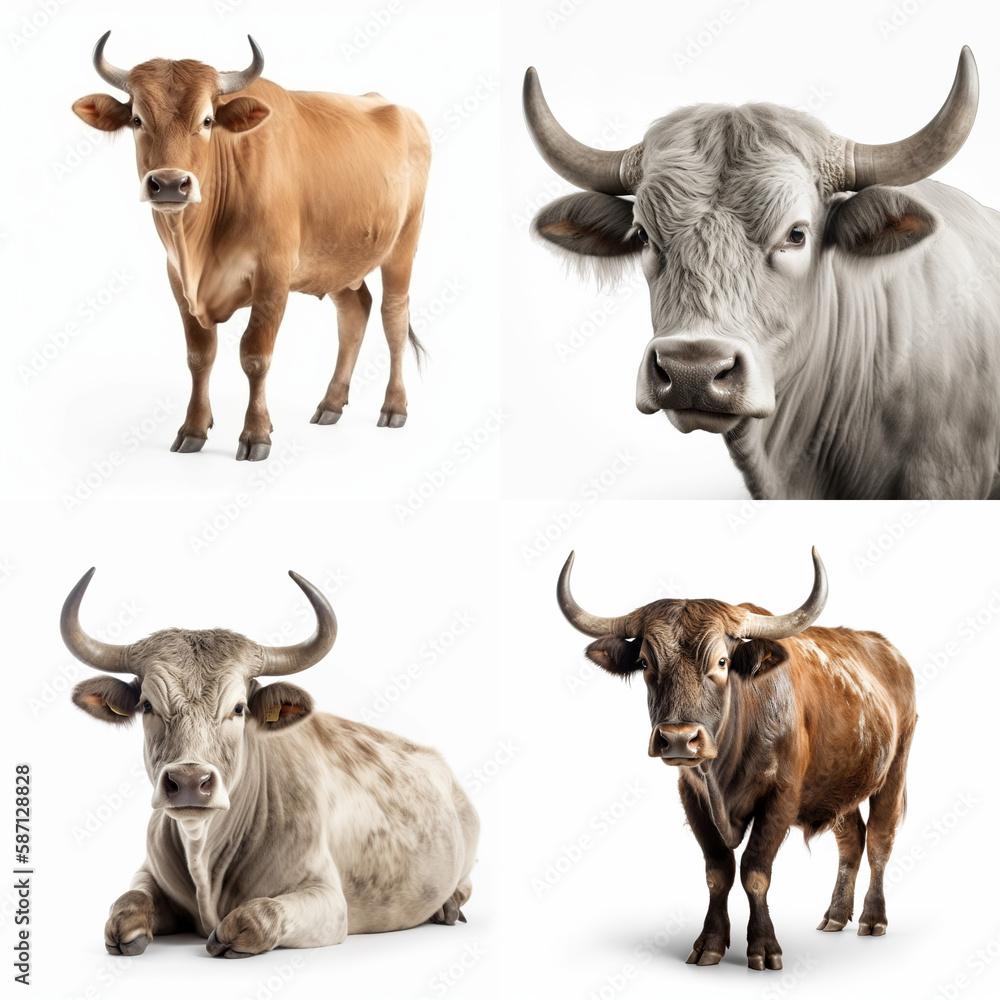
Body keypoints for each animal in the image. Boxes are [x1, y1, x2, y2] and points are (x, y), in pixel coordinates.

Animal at [62, 569, 478, 958]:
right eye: (148, 706)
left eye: (239, 708)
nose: (190, 781)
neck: (204, 857)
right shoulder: (146, 872)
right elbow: (126, 905)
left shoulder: (329, 902)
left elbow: (256, 915)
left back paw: (448, 907)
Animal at [73, 34, 431, 461]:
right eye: (138, 120)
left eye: (207, 120)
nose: (171, 184)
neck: (199, 248)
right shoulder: (177, 277)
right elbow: (199, 355)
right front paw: (194, 429)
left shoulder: (273, 273)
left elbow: (255, 355)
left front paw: (256, 434)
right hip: (336, 261)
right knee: (354, 314)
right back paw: (330, 404)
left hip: (403, 246)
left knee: (394, 319)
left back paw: (394, 407)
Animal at [556, 549, 916, 971]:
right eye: (645, 663)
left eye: (723, 662)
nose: (678, 739)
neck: (724, 769)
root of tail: (889, 653)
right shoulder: (693, 797)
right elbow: (719, 871)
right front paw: (710, 943)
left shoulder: (781, 798)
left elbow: (755, 870)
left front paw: (763, 946)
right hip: (838, 786)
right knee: (852, 841)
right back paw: (835, 916)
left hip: (895, 769)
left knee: (878, 841)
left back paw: (872, 919)